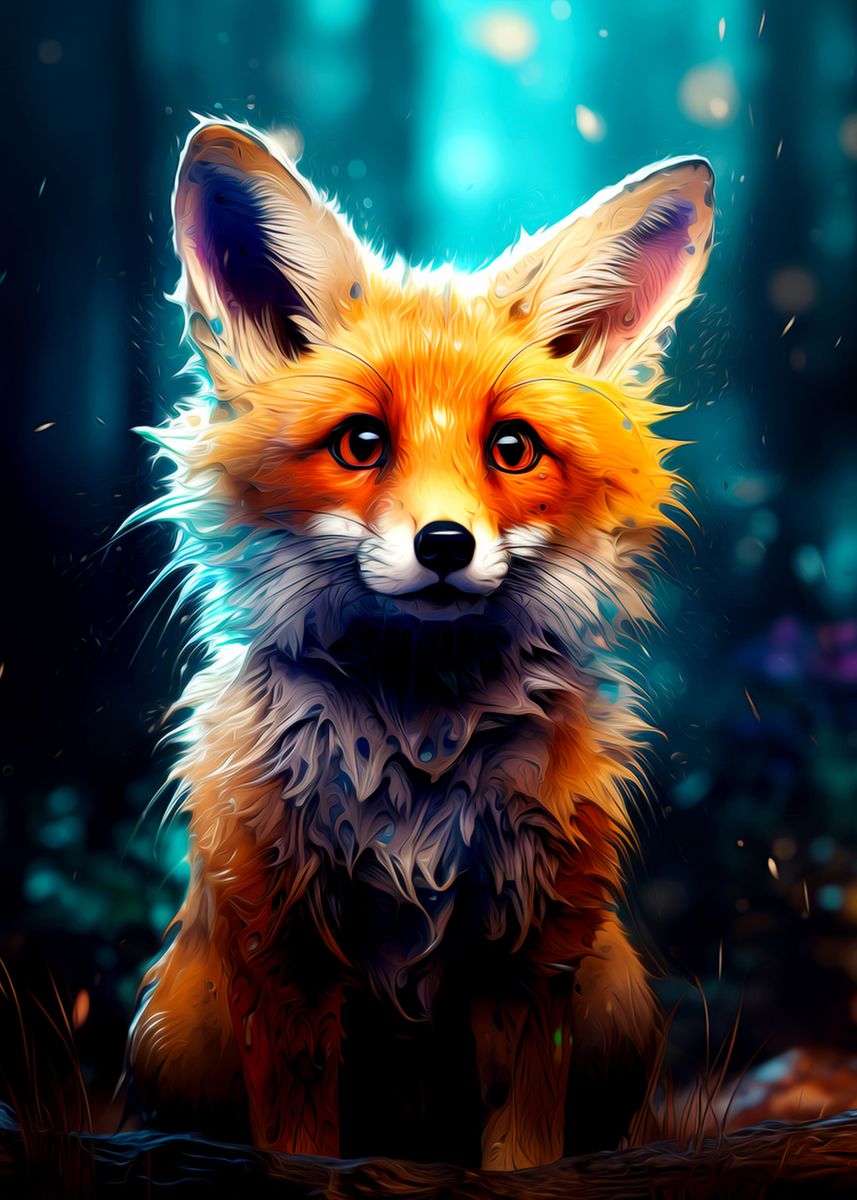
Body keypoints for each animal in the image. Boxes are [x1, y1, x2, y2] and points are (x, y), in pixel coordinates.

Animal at [126, 118, 714, 1170]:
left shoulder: (536, 950)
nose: (445, 545)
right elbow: (298, 1143)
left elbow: (523, 1146)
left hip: (619, 1002)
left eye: (511, 449)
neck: (416, 758)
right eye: (360, 444)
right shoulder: (279, 947)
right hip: (171, 1029)